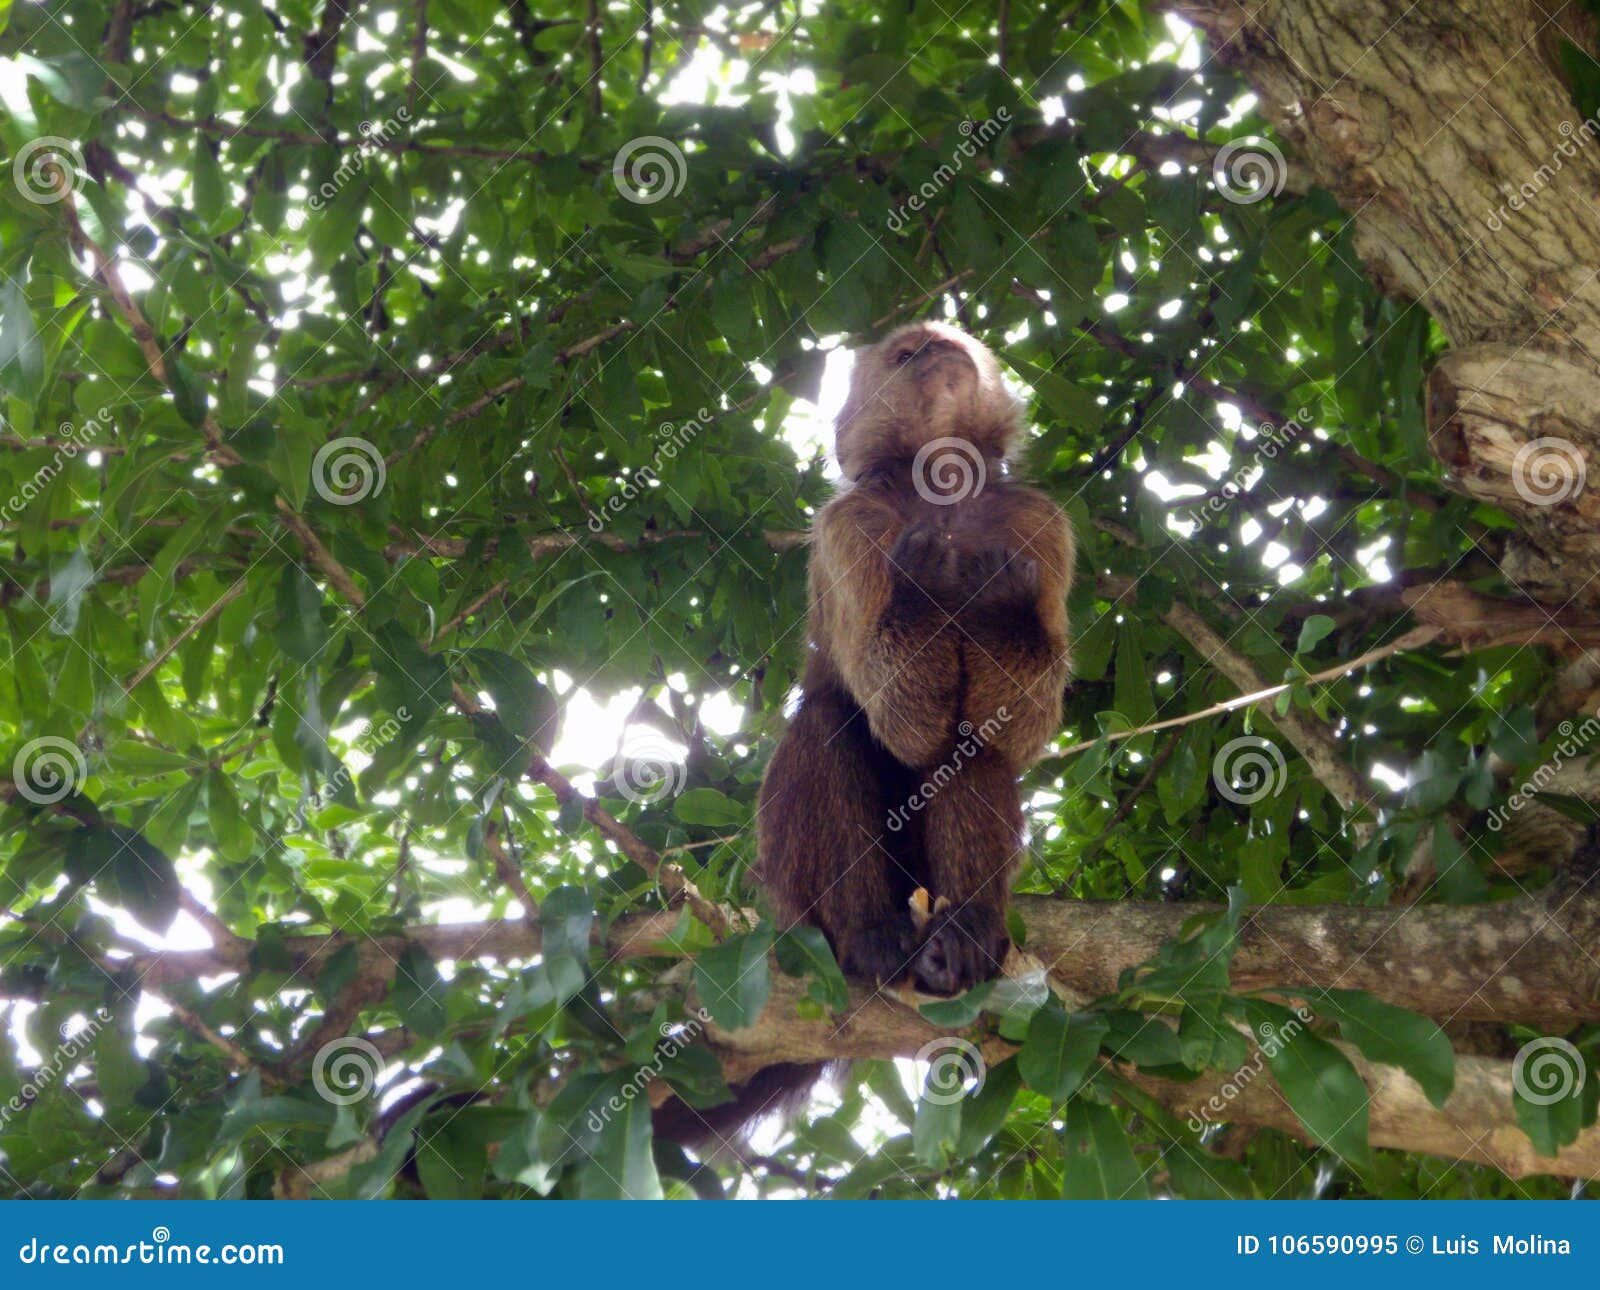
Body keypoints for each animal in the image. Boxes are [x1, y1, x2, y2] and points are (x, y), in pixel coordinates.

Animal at [754, 320, 1074, 996]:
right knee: (831, 722)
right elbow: (905, 722)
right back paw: (869, 934)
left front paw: (1005, 610)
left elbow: (1016, 729)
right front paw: (919, 588)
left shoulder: (1040, 523)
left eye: (945, 341)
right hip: (788, 898)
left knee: (971, 740)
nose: (934, 349)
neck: (942, 500)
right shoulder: (851, 526)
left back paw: (963, 933)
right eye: (906, 354)